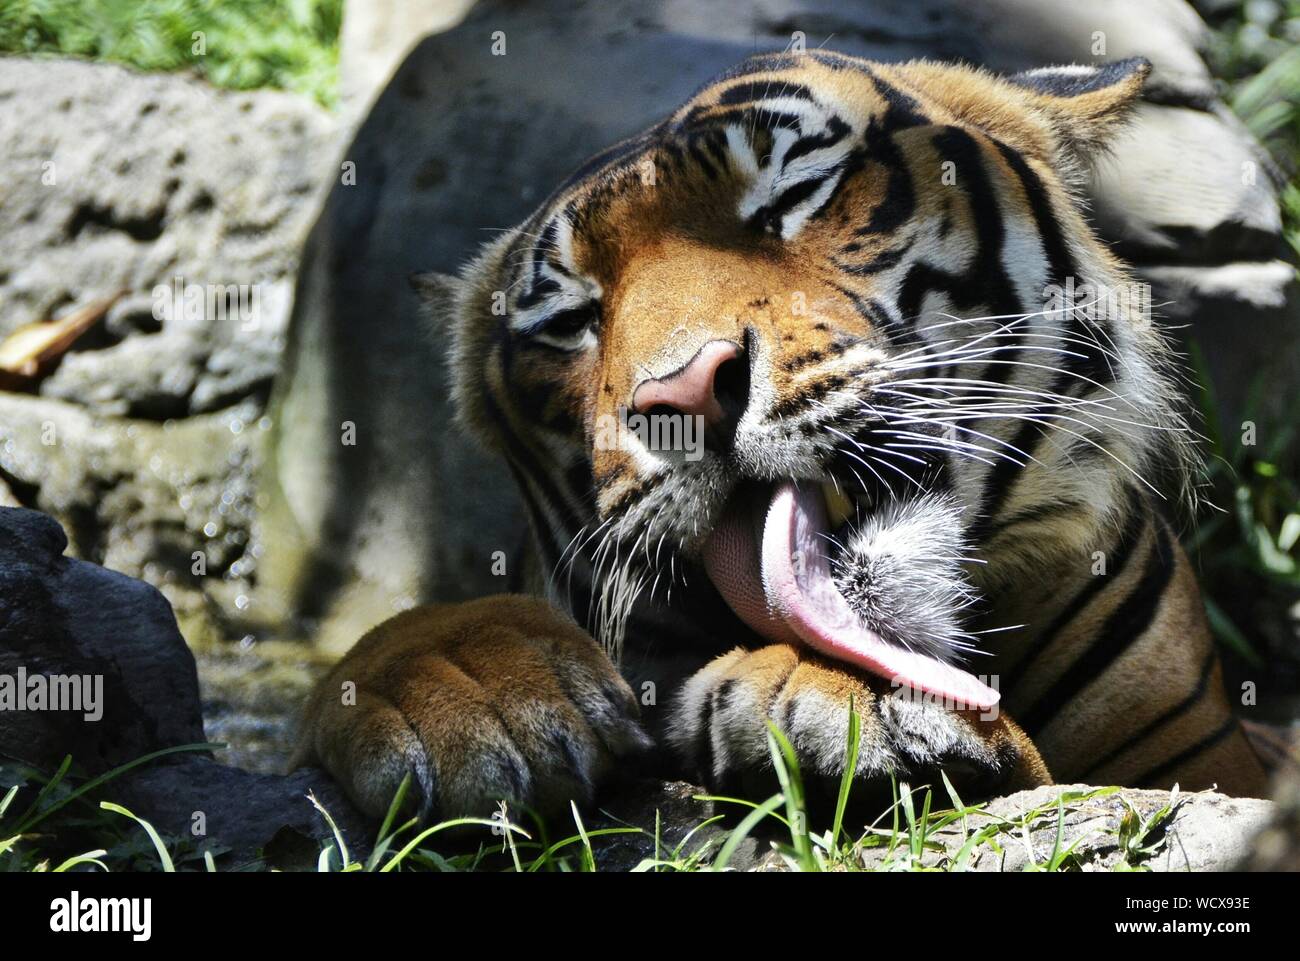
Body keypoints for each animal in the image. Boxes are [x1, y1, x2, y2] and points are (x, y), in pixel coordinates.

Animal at [292, 51, 1269, 821]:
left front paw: (833, 697)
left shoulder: (1220, 769)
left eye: (791, 199)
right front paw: (459, 686)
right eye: (570, 319)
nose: (685, 392)